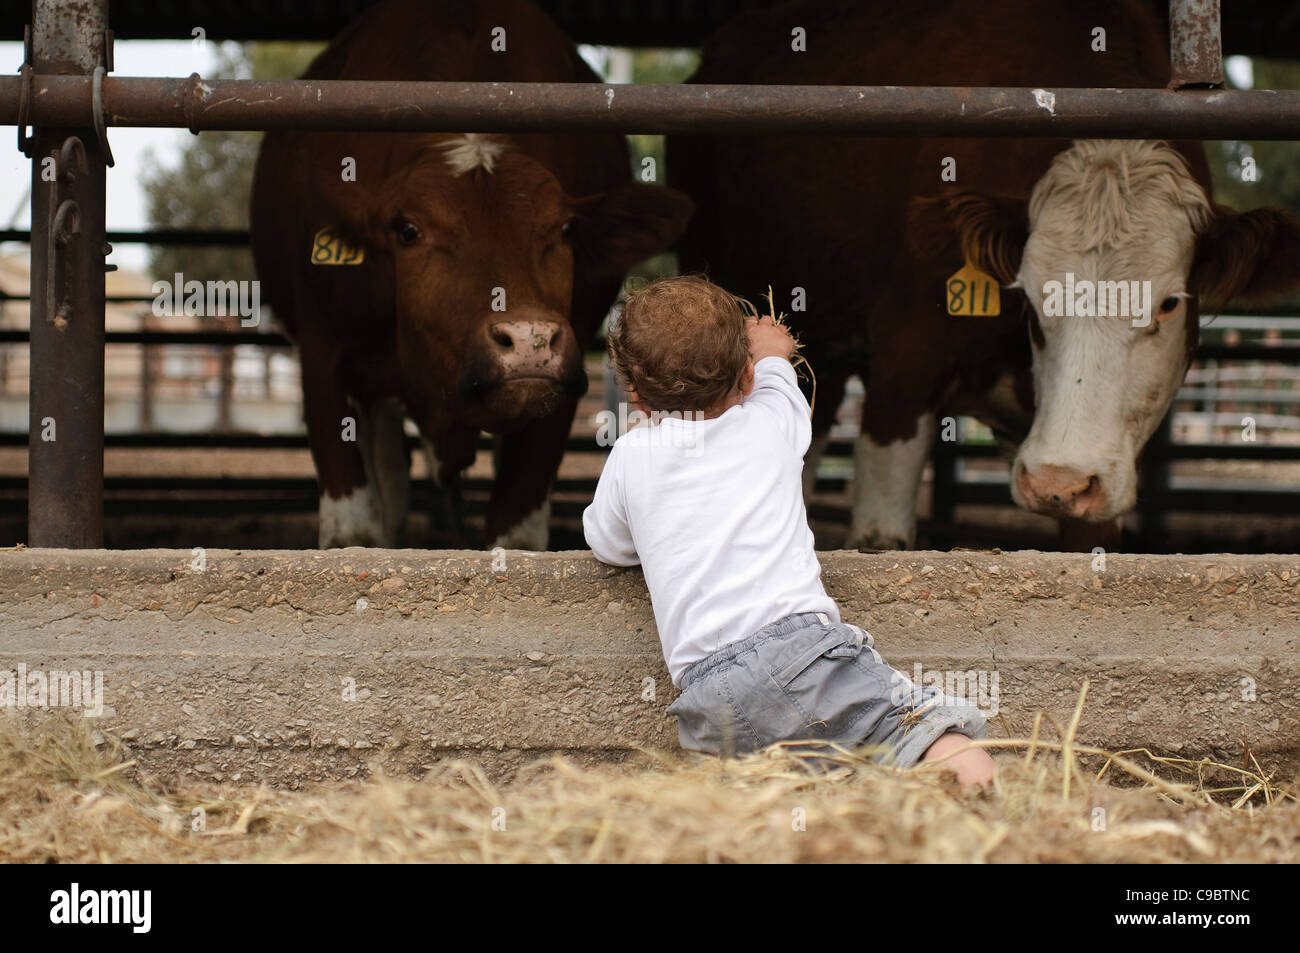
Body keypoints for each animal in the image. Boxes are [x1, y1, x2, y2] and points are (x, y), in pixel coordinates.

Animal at [251, 0, 692, 549]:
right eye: (407, 229)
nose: (528, 339)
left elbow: (517, 537)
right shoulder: (323, 352)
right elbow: (354, 535)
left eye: (566, 228)